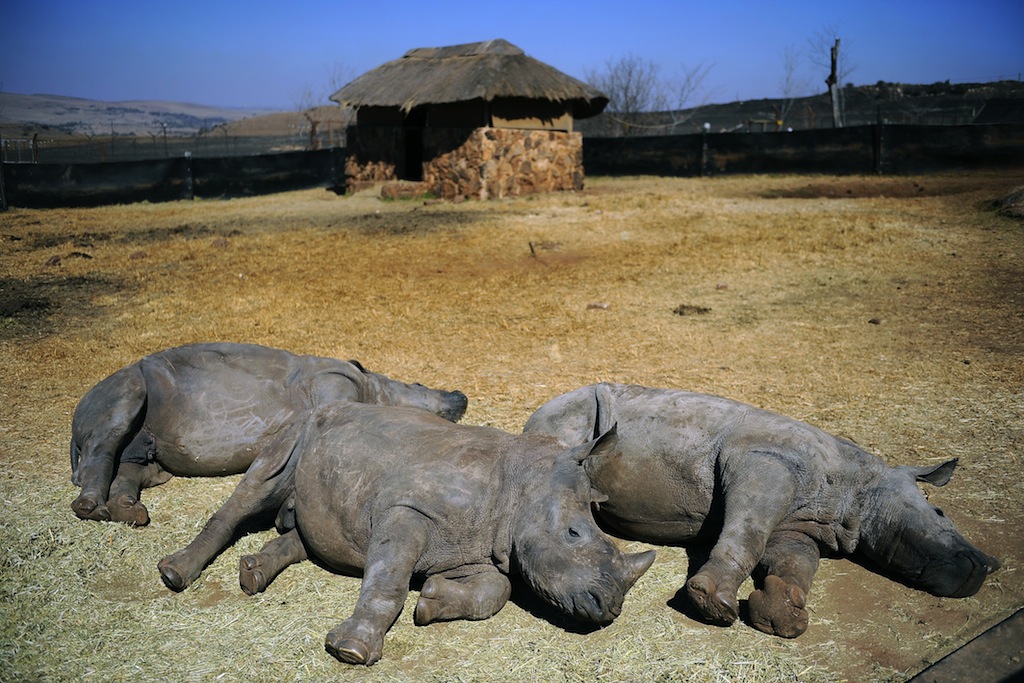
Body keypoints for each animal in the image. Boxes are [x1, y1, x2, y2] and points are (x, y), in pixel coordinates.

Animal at [70, 342, 468, 525]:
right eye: (420, 385)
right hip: (124, 384)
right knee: (117, 420)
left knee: (143, 460)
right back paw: (91, 509)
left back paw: (130, 512)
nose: (460, 395)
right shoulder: (333, 387)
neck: (372, 385)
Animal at [157, 402, 655, 666]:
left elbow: (497, 589)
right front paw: (351, 650)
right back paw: (174, 575)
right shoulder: (406, 510)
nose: (609, 608)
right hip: (298, 428)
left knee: (314, 527)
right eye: (572, 534)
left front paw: (432, 599)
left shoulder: (480, 547)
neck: (523, 483)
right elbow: (388, 580)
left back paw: (252, 575)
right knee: (257, 485)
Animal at [523, 383, 1000, 638]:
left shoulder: (800, 525)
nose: (983, 566)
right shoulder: (761, 461)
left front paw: (781, 616)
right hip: (566, 420)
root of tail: (535, 412)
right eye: (940, 515)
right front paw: (712, 603)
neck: (858, 486)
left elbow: (795, 563)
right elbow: (746, 533)